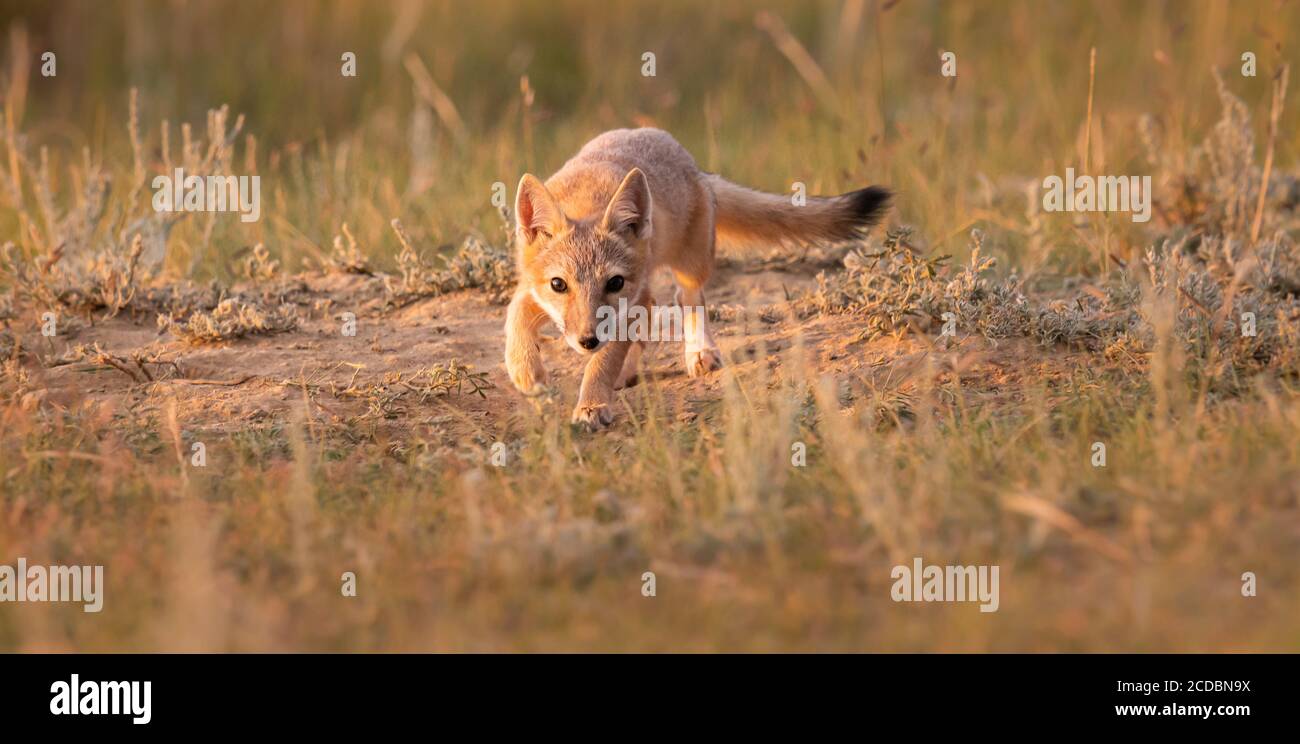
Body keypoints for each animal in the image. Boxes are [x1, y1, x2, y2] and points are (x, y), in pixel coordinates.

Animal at [505, 127, 890, 429]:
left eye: (613, 283)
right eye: (559, 285)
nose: (587, 340)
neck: (585, 200)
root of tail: (691, 162)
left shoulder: (624, 306)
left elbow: (603, 362)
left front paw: (592, 405)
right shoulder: (533, 290)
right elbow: (515, 316)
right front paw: (526, 372)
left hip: (691, 266)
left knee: (687, 300)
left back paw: (698, 351)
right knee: (651, 309)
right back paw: (627, 371)